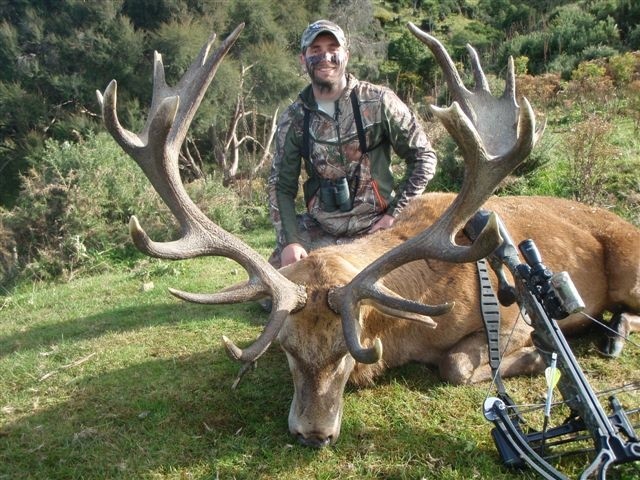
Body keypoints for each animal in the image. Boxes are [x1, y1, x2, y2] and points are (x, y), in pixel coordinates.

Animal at [97, 22, 640, 448]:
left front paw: (532, 357)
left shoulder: (510, 314)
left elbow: (457, 366)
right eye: (287, 351)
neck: (405, 334)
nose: (312, 435)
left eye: (346, 353)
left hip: (628, 262)